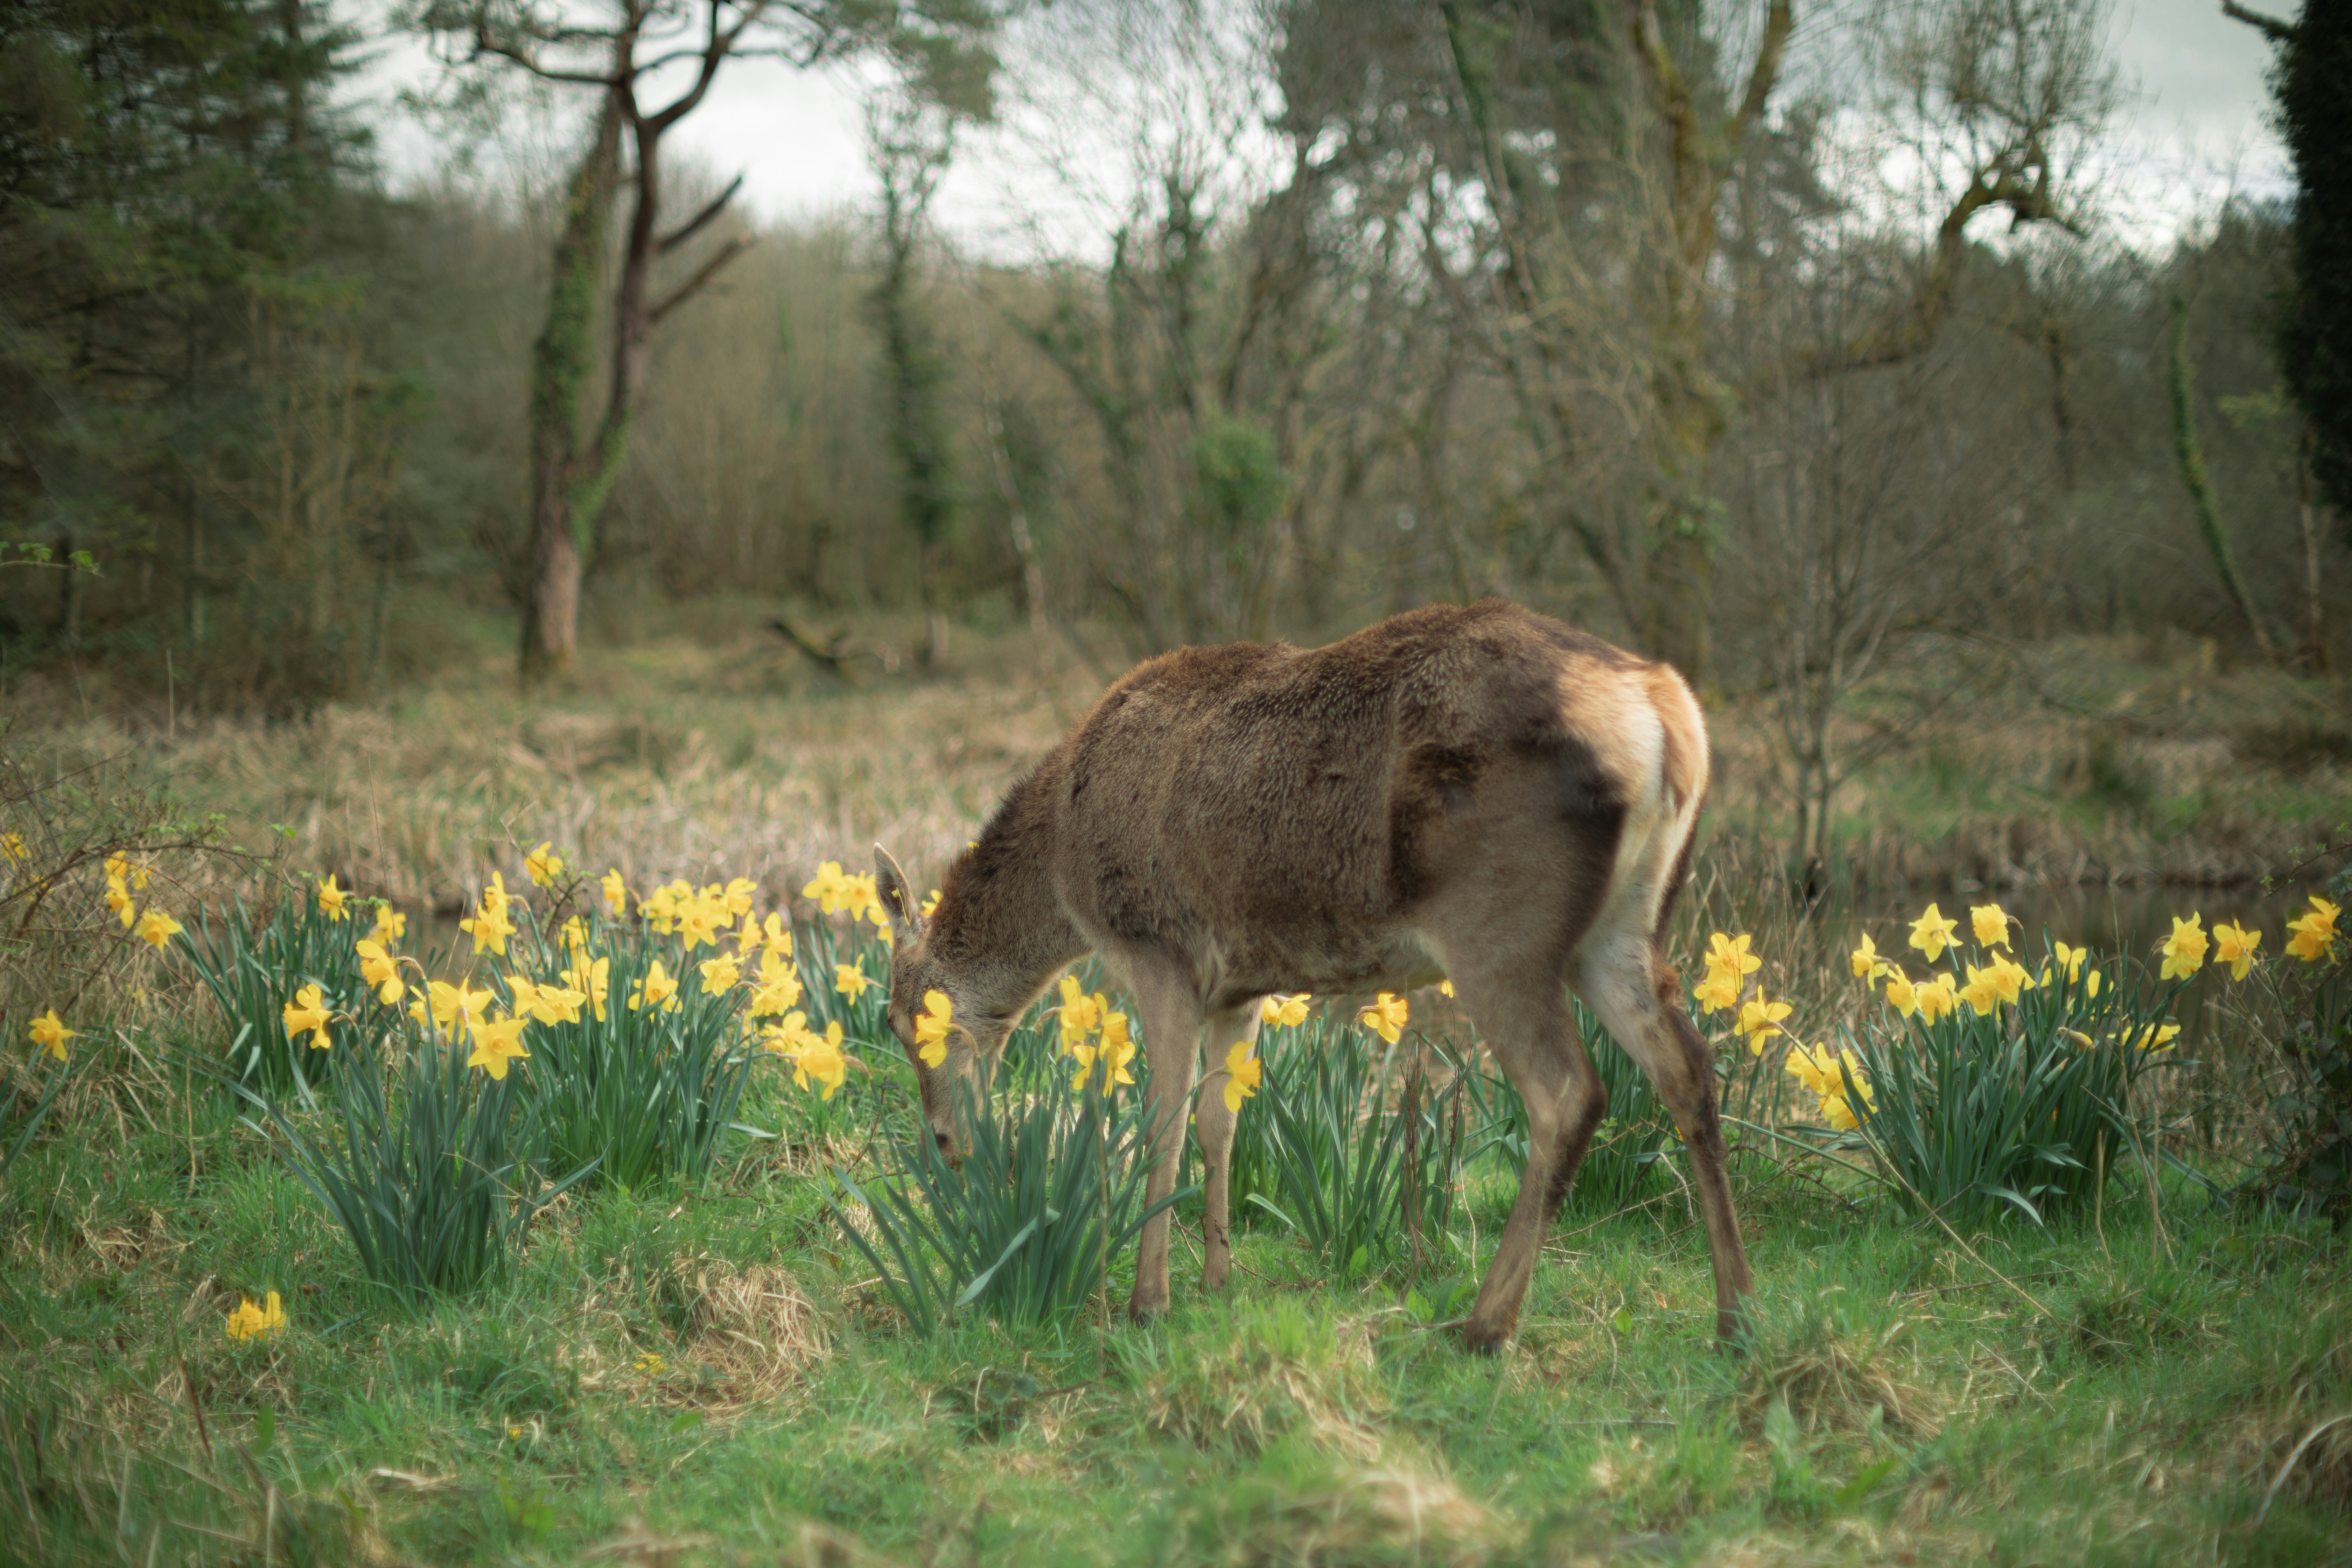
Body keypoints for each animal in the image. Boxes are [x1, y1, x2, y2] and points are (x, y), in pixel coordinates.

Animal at [870, 598, 1754, 1350]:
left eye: (902, 1018)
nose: (945, 1141)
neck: (1064, 862)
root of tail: (1667, 713)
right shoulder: (1239, 986)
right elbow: (1221, 1122)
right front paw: (1217, 1277)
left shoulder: (1157, 949)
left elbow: (1160, 1121)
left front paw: (1147, 1300)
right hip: (1623, 929)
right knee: (1688, 1066)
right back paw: (1736, 1314)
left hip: (1499, 926)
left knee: (1567, 1090)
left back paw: (1487, 1323)